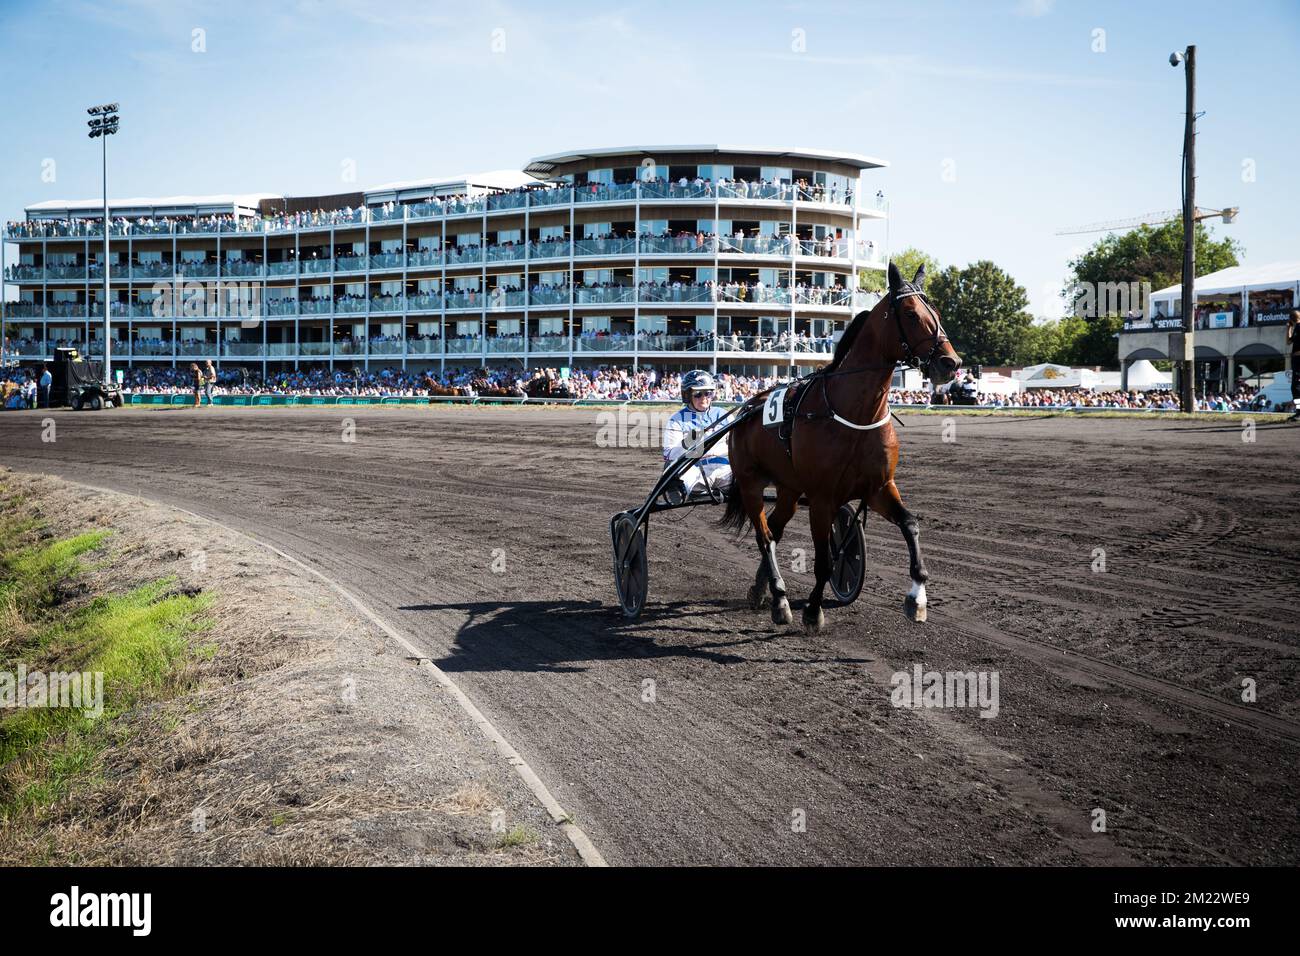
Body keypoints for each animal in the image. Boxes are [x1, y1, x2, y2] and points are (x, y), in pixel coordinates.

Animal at [721, 262, 962, 633]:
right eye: (910, 313)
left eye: (934, 312)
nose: (951, 363)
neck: (853, 413)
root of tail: (749, 406)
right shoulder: (822, 498)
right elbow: (824, 560)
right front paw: (813, 610)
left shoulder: (879, 487)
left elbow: (910, 525)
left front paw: (917, 597)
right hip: (750, 483)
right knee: (764, 536)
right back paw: (780, 600)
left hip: (789, 489)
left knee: (774, 530)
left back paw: (765, 591)